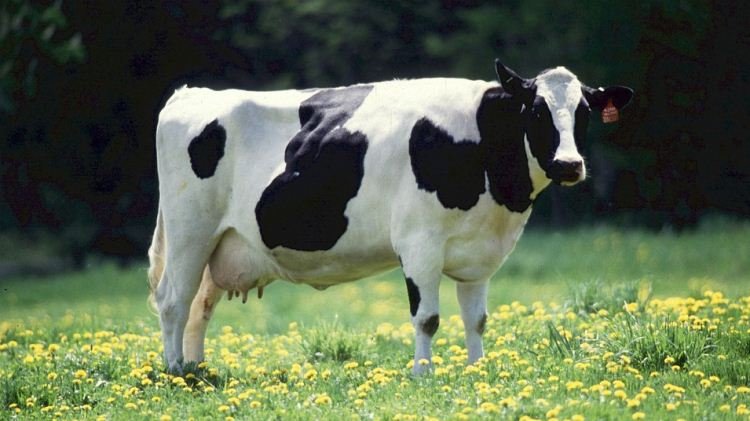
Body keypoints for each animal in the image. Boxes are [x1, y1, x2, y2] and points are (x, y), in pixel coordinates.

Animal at [148, 59, 633, 374]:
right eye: (536, 110)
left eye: (584, 113)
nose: (569, 165)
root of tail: (190, 94)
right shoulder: (419, 243)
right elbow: (428, 318)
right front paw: (423, 374)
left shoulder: (480, 254)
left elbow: (476, 318)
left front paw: (478, 371)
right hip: (190, 231)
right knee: (173, 300)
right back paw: (176, 371)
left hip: (222, 243)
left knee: (200, 305)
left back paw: (198, 369)